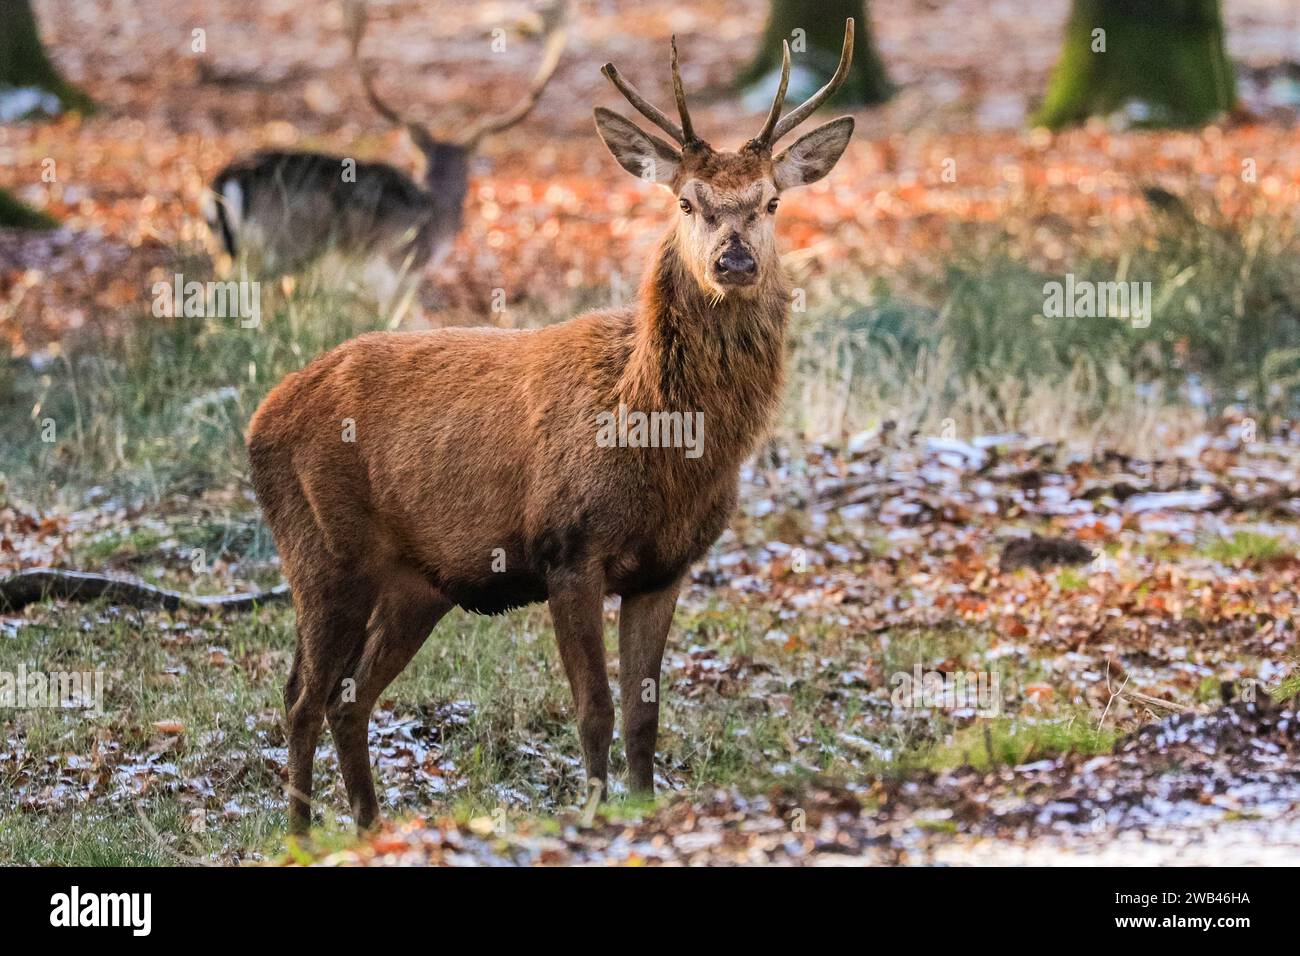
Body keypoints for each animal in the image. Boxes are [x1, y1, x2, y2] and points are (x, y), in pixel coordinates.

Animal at [247, 20, 857, 834]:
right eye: (687, 202)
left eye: (772, 202)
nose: (734, 259)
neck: (661, 436)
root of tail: (262, 417)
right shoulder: (568, 546)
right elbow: (594, 707)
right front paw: (595, 810)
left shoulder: (666, 568)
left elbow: (645, 716)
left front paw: (642, 803)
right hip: (322, 551)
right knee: (299, 697)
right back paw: (302, 836)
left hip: (416, 584)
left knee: (348, 698)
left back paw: (369, 828)